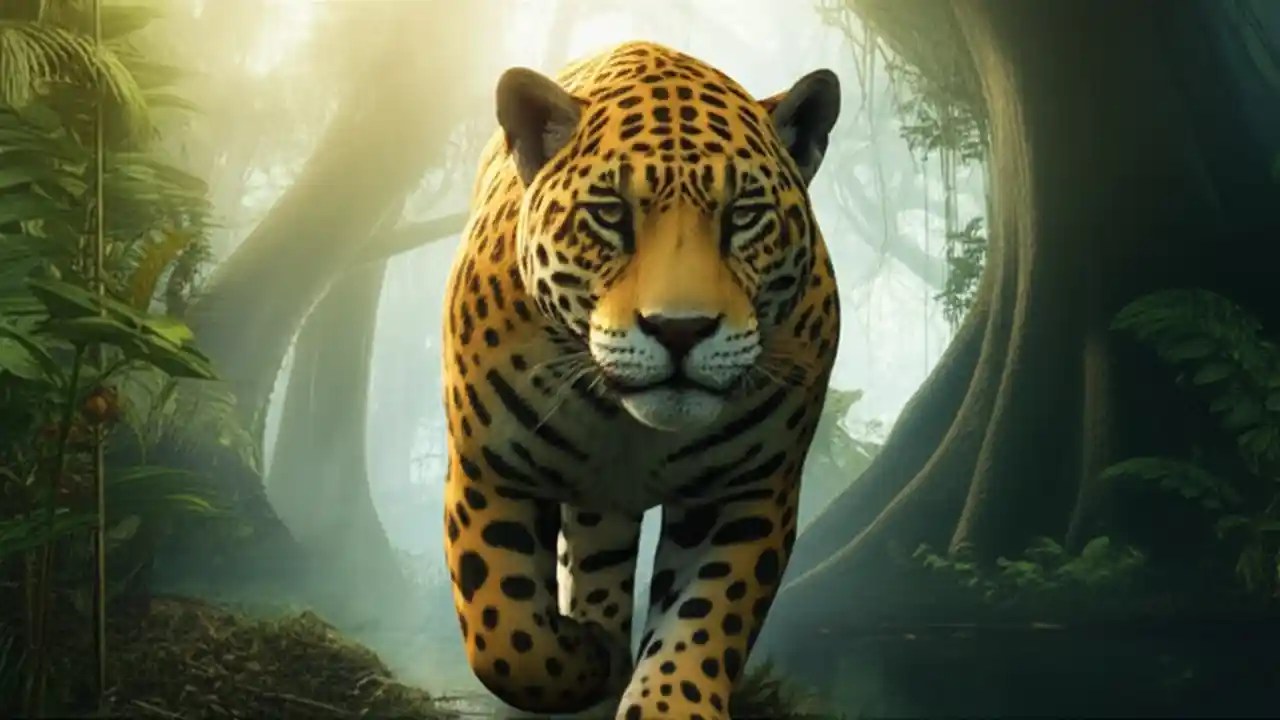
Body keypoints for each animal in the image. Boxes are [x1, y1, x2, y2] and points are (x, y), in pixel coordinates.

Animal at [440, 40, 842, 720]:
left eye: (744, 216)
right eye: (610, 215)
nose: (680, 330)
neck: (627, 426)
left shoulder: (745, 492)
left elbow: (704, 623)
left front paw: (664, 697)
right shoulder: (490, 470)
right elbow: (508, 640)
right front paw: (583, 653)